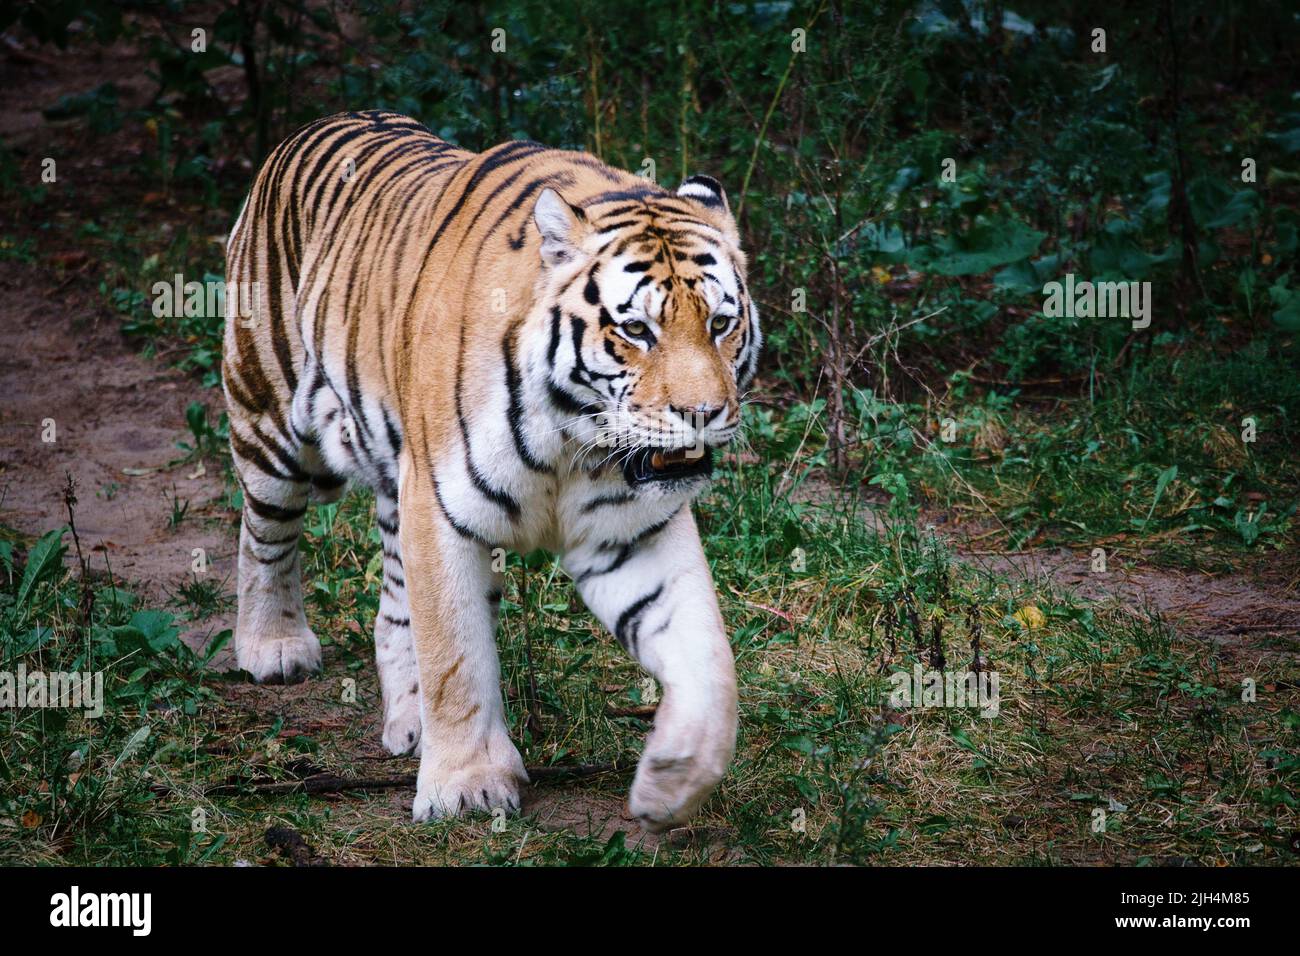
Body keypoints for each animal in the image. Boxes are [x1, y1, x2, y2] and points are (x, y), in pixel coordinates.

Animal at [222, 110, 761, 830]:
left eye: (722, 323)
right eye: (636, 330)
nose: (702, 414)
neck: (574, 433)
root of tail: (314, 124)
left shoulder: (629, 531)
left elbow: (707, 656)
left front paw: (674, 778)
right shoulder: (441, 510)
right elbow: (456, 655)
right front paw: (467, 787)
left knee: (393, 601)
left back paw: (407, 719)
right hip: (271, 417)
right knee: (265, 534)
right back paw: (273, 647)